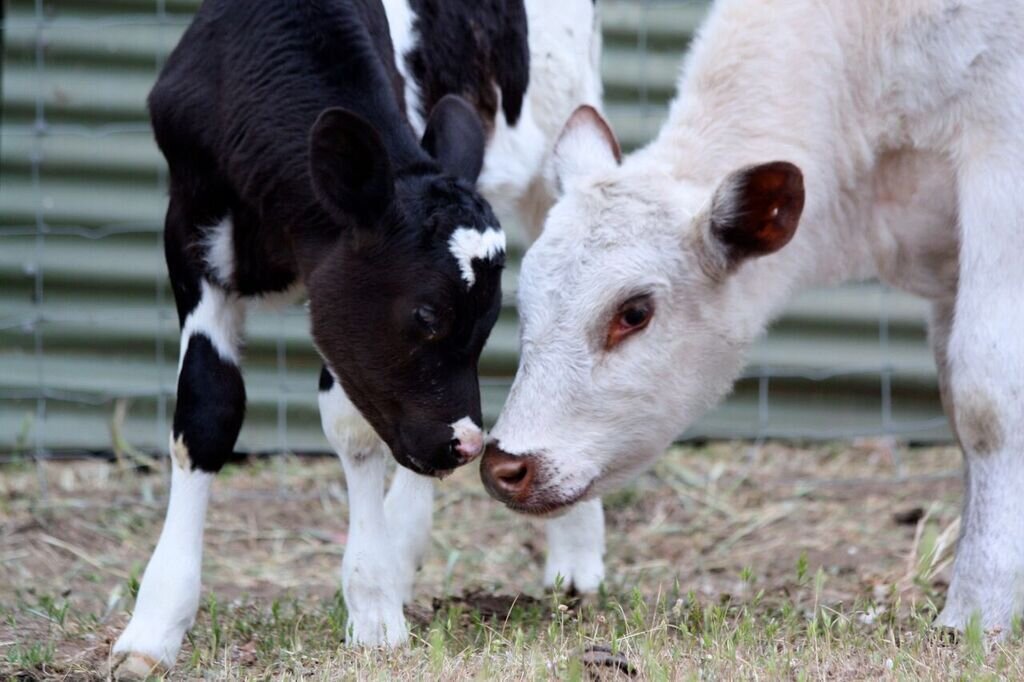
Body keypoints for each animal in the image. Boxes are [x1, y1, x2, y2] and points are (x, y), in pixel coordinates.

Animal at [111, 0, 602, 675]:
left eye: (485, 322)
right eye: (426, 315)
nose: (467, 444)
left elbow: (354, 427)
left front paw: (373, 609)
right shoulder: (189, 232)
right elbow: (207, 410)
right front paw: (152, 630)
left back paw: (575, 554)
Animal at [481, 0, 1024, 637]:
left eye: (634, 312)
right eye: (525, 304)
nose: (505, 466)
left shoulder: (1000, 171)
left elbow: (985, 399)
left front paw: (976, 613)